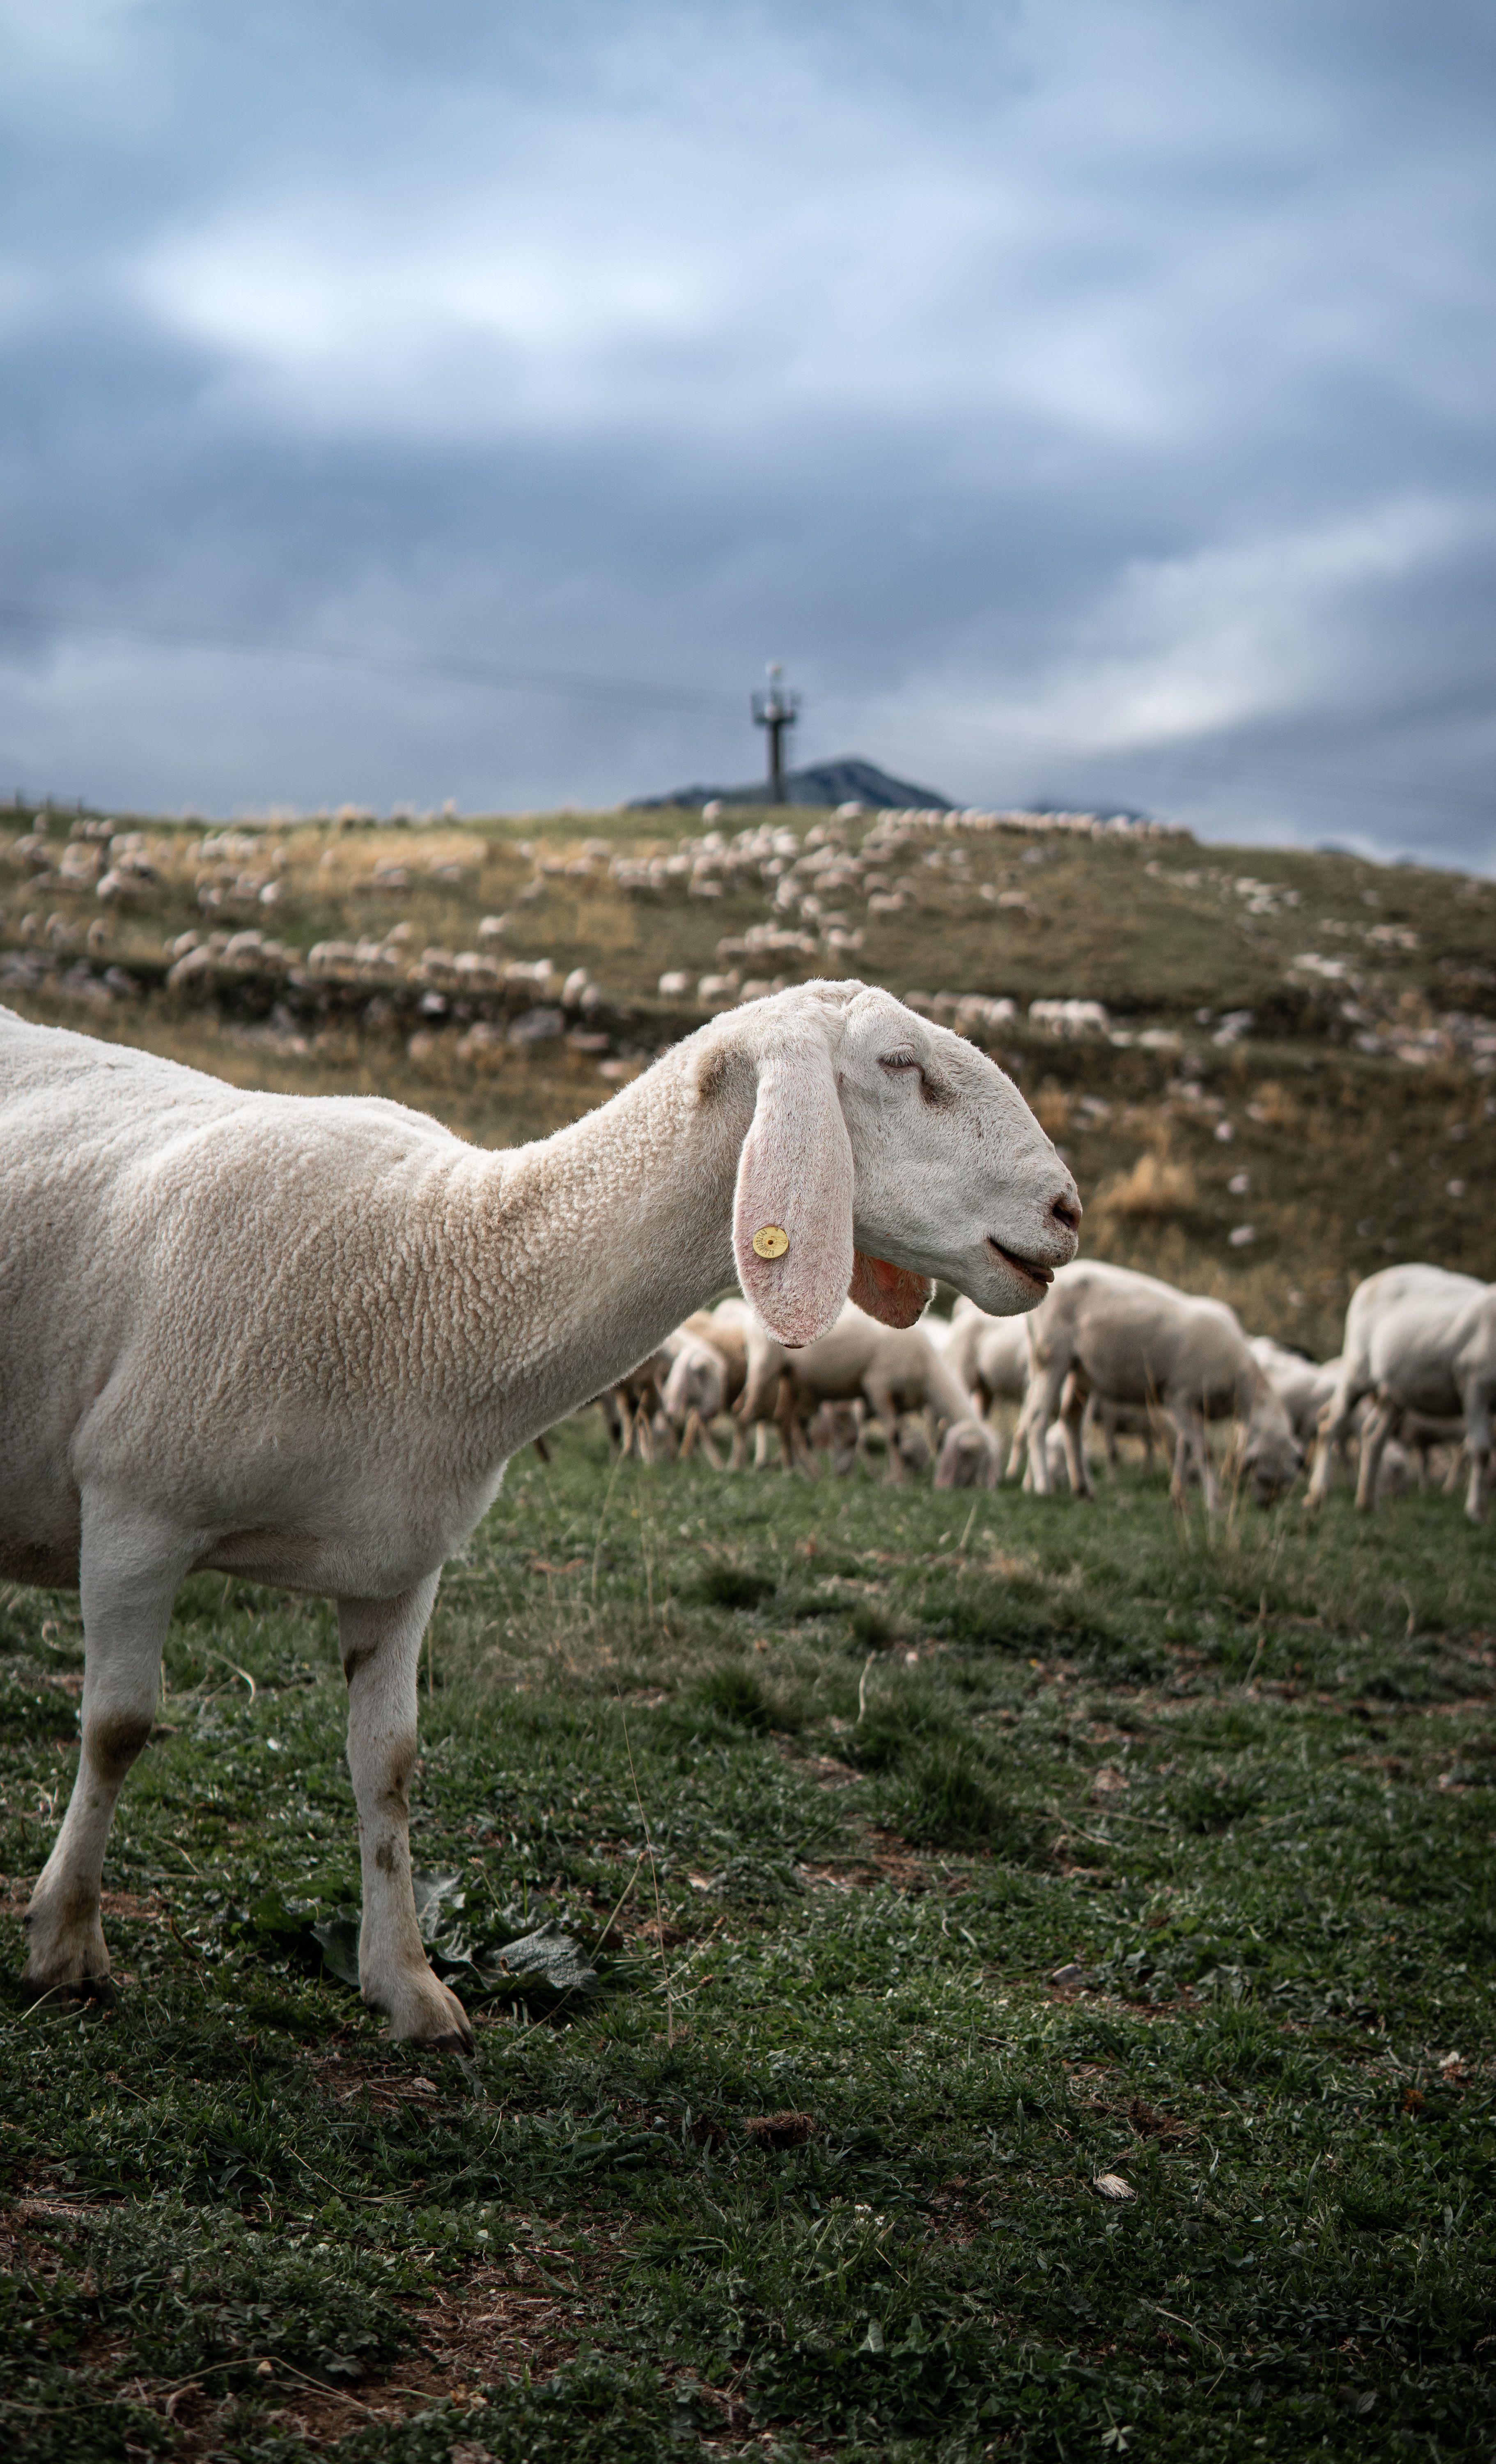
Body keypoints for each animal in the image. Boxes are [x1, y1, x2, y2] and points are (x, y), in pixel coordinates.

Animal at [1, 979, 1078, 2042]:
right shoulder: (136, 1514)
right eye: (900, 1065)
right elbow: (119, 1727)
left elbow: (387, 1765)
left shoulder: (399, 1566)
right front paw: (66, 1944)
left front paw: (407, 1984)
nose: (1067, 1210)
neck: (441, 1272)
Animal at [1019, 1262, 1302, 1511]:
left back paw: (1083, 1489)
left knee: (1071, 1420)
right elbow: (1205, 1452)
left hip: (1081, 1370)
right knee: (1037, 1419)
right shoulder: (1180, 1396)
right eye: (1267, 1476)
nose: (1265, 1506)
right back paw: (1044, 1486)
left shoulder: (1191, 1407)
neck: (1240, 1381)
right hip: (1052, 1355)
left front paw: (1179, 1499)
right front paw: (1216, 1506)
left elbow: (1185, 1448)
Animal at [1304, 1264, 1495, 1520]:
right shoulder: (1475, 1385)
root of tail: (1377, 1277)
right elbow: (1481, 1451)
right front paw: (1476, 1512)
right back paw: (1318, 1495)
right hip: (1358, 1370)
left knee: (1373, 1434)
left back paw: (1367, 1503)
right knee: (1330, 1422)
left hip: (1393, 1394)